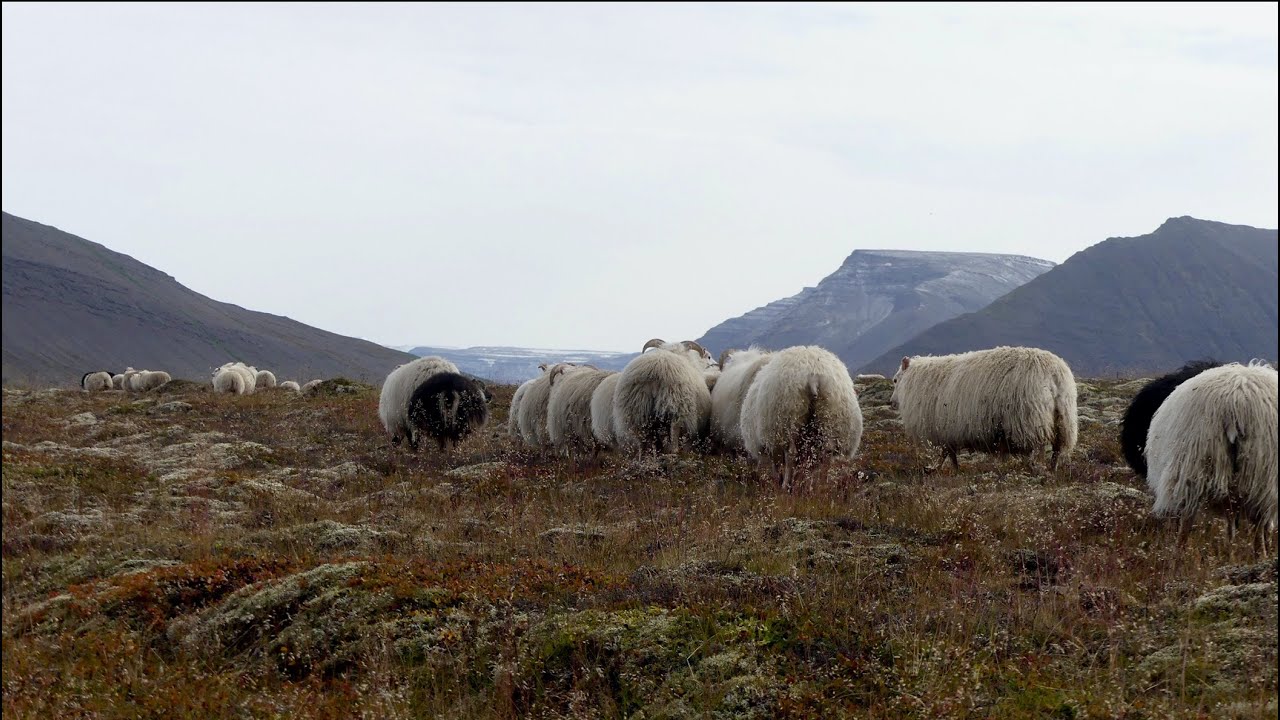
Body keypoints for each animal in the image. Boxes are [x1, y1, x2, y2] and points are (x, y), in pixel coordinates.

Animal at [740, 346, 863, 492]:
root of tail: (813, 376)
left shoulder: (773, 444)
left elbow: (777, 468)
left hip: (787, 420)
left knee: (791, 455)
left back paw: (787, 487)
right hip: (830, 418)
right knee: (825, 453)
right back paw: (819, 487)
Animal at [890, 346, 1078, 471]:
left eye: (894, 380)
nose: (891, 402)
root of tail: (1053, 372)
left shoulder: (942, 429)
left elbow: (946, 453)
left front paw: (940, 469)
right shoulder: (948, 431)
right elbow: (950, 453)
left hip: (1028, 418)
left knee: (1035, 448)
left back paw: (1032, 467)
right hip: (1063, 418)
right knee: (1057, 448)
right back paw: (1052, 470)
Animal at [1145, 362, 1277, 555]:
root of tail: (1237, 402)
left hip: (1195, 461)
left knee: (1187, 519)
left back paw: (1178, 555)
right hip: (1259, 470)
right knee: (1257, 522)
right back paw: (1260, 555)